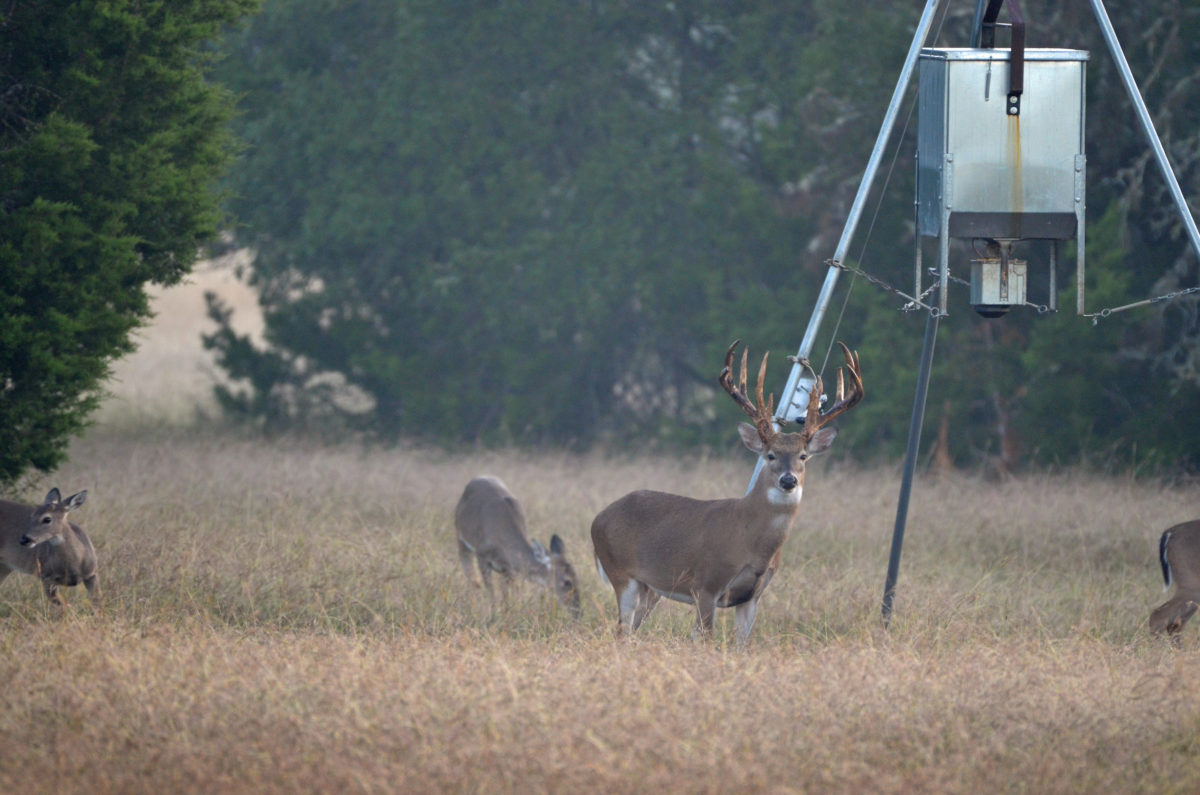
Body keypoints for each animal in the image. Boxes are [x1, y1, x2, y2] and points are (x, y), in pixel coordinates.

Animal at [455, 475, 581, 618]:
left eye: (577, 577)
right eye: (567, 582)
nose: (578, 611)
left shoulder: (509, 570)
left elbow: (506, 596)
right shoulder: (482, 555)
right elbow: (491, 592)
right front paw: (493, 616)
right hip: (460, 539)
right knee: (471, 578)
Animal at [590, 339, 863, 645]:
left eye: (803, 456)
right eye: (770, 454)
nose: (788, 480)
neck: (751, 540)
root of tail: (598, 519)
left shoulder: (752, 595)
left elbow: (743, 644)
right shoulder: (706, 583)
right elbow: (705, 639)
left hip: (650, 587)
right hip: (621, 572)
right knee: (620, 629)